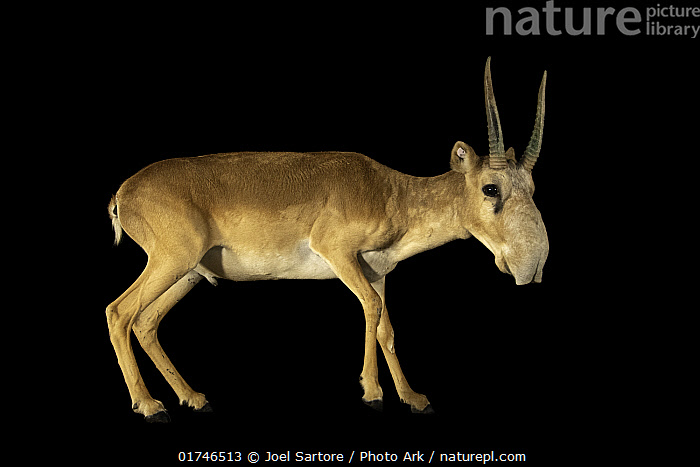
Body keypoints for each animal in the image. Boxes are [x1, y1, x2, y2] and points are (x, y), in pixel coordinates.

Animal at [106, 57, 548, 422]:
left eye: (532, 186)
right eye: (491, 188)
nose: (533, 265)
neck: (393, 194)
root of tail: (121, 195)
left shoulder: (378, 271)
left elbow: (387, 328)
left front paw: (414, 398)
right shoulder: (337, 252)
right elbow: (370, 308)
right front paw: (372, 393)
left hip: (190, 274)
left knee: (146, 321)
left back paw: (194, 398)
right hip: (171, 260)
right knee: (119, 312)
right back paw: (149, 405)